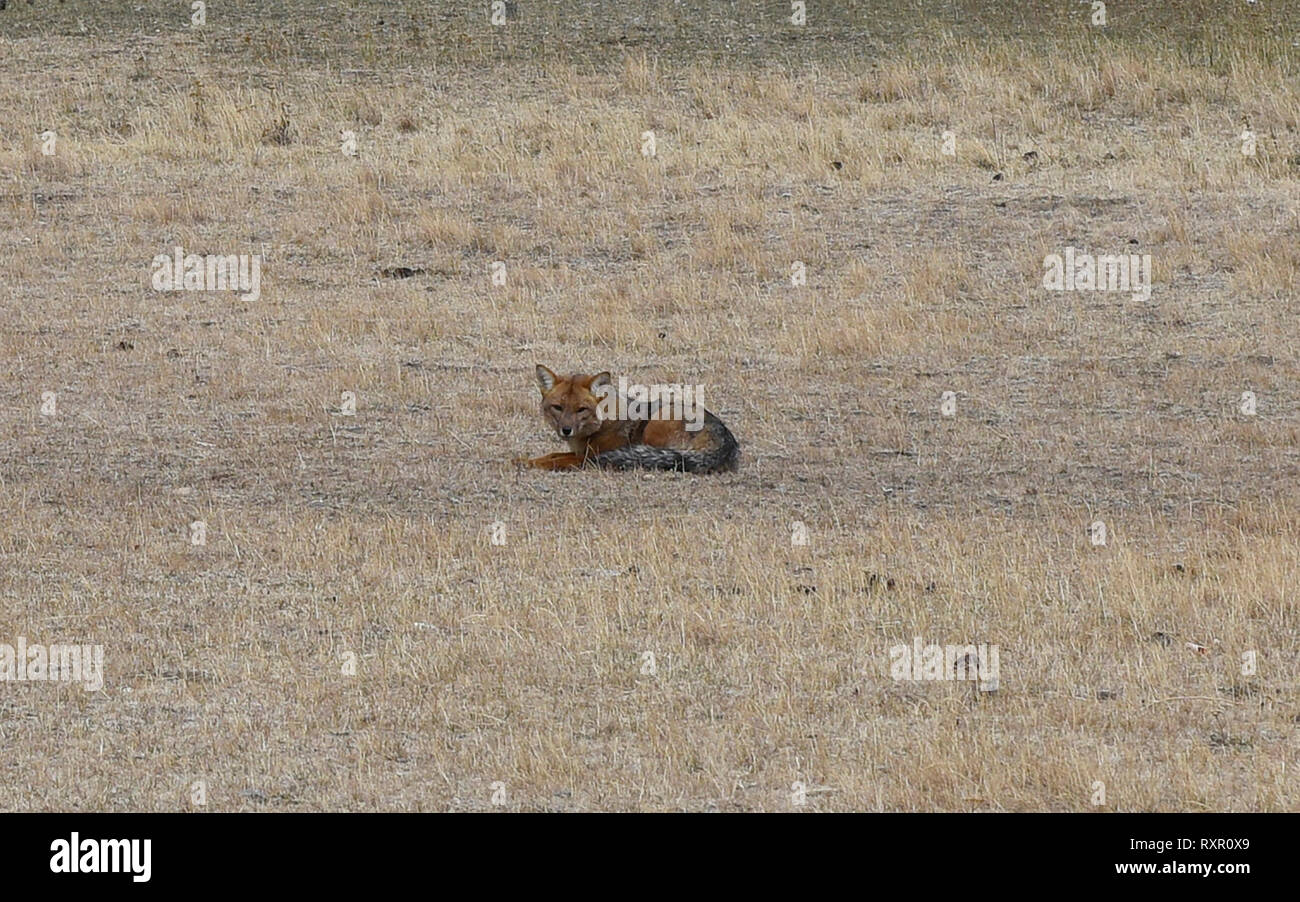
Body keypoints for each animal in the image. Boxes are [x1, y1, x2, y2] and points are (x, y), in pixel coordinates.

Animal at [517, 365, 740, 473]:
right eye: (558, 408)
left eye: (581, 409)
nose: (565, 430)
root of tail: (727, 441)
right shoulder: (580, 452)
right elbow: (552, 455)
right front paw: (524, 459)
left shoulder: (588, 457)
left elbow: (556, 461)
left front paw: (529, 463)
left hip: (655, 424)